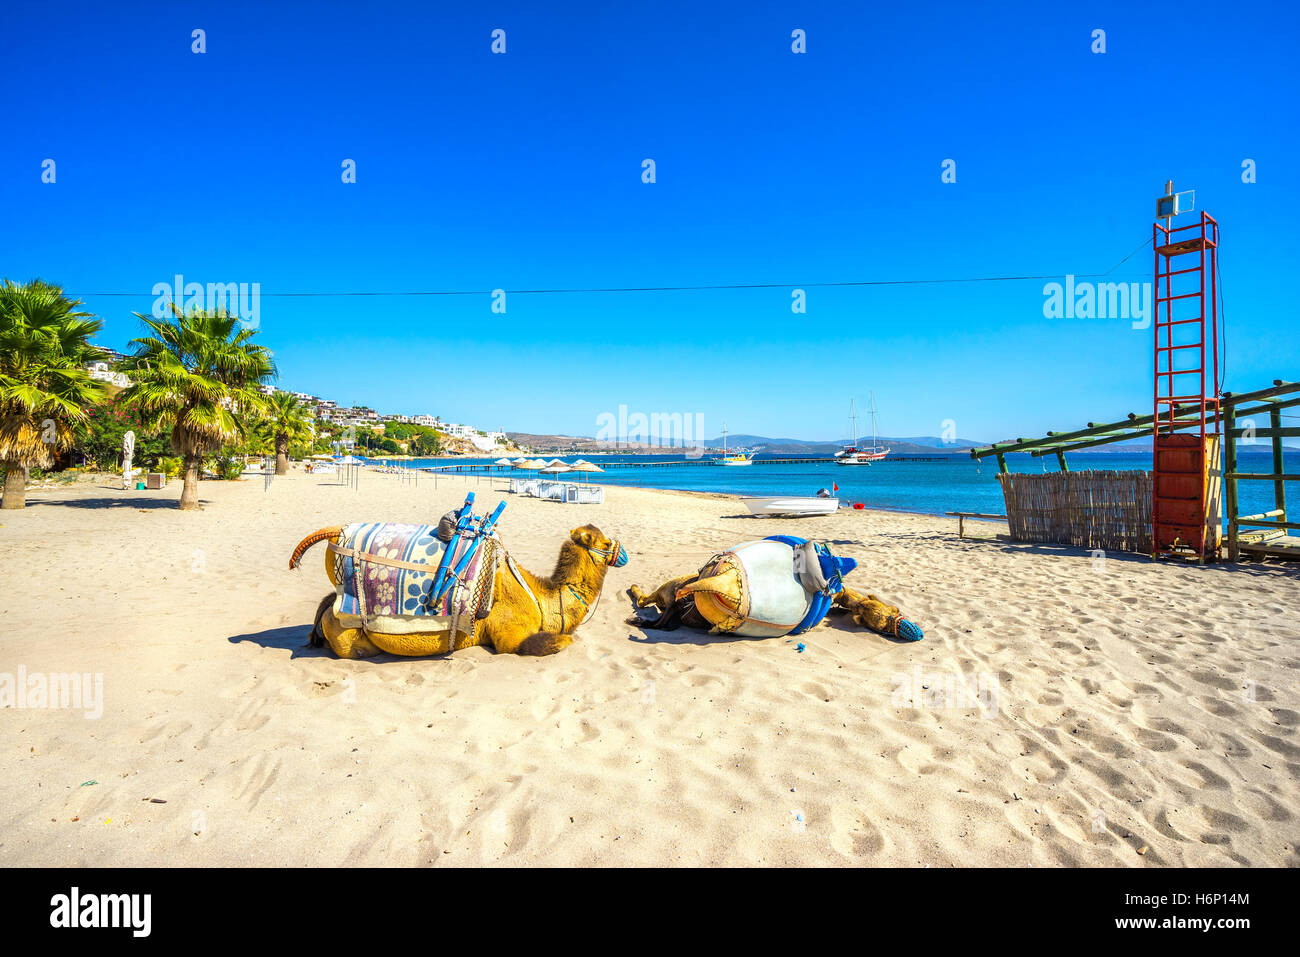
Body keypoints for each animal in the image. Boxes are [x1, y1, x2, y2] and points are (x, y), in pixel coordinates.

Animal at [290, 523, 627, 658]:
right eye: (605, 542)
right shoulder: (511, 638)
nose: (622, 553)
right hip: (349, 635)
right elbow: (560, 641)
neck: (541, 597)